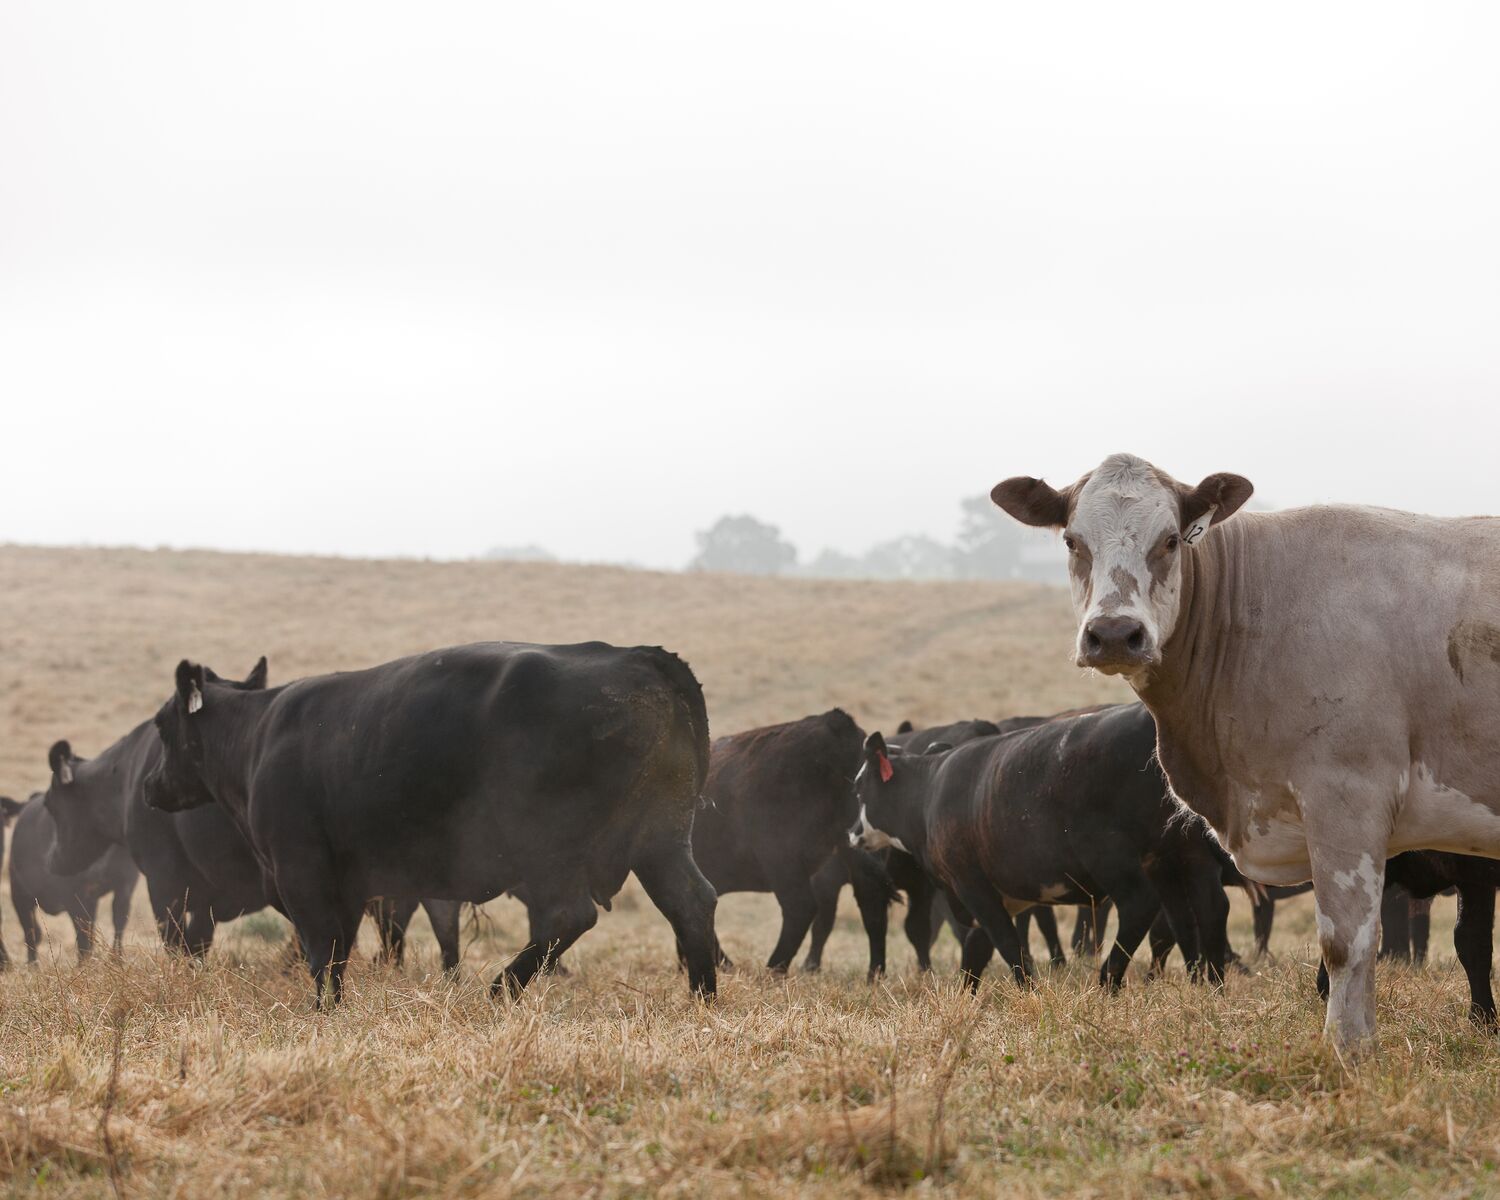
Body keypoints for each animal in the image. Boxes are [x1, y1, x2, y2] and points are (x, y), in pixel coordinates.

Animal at [6, 792, 140, 964]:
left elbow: (118, 922)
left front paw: (117, 959)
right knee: (31, 932)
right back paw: (33, 964)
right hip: (19, 894)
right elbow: (83, 934)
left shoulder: (125, 886)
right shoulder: (74, 897)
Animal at [143, 643, 718, 1007]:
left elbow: (322, 949)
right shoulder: (351, 882)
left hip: (551, 847)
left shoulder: (300, 870)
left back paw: (500, 991)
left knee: (567, 916)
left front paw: (322, 1012)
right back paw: (702, 998)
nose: (150, 785)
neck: (258, 737)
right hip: (661, 837)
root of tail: (639, 656)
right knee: (691, 901)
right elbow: (341, 950)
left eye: (163, 725)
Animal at [693, 710, 896, 980]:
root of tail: (835, 724)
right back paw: (875, 974)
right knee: (872, 904)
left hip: (781, 859)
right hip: (861, 851)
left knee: (800, 907)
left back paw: (774, 968)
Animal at [852, 703, 1231, 991]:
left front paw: (1029, 992)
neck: (930, 791)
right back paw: (1210, 986)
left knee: (1140, 905)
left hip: (1109, 854)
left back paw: (1108, 982)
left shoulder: (971, 885)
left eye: (858, 788)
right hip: (1180, 853)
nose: (853, 833)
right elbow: (978, 950)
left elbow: (1007, 944)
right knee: (1203, 910)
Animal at [992, 451, 1500, 1047]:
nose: (1115, 633)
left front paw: (1347, 1053)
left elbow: (1346, 946)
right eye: (1072, 540)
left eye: (1170, 540)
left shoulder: (1347, 801)